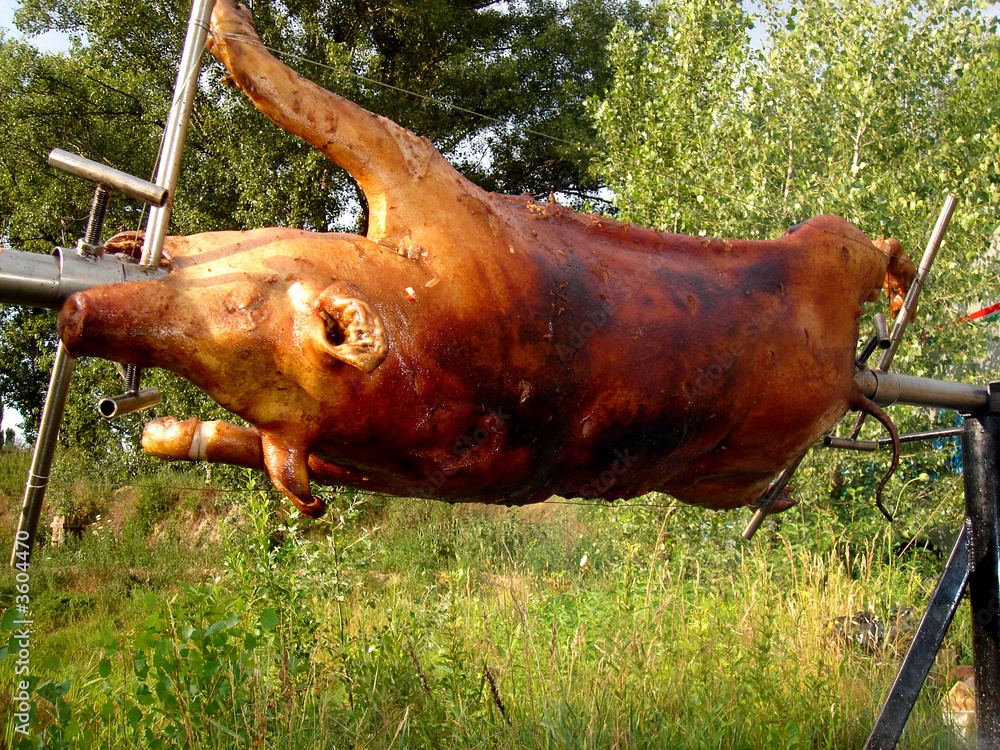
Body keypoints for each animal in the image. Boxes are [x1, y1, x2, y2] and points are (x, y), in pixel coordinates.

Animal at [57, 0, 914, 518]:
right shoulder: (362, 456)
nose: (76, 311)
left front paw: (228, 17)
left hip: (828, 245)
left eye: (242, 310)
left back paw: (903, 293)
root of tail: (850, 379)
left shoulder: (429, 187)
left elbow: (319, 106)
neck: (422, 317)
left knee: (879, 247)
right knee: (759, 491)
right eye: (219, 369)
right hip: (728, 475)